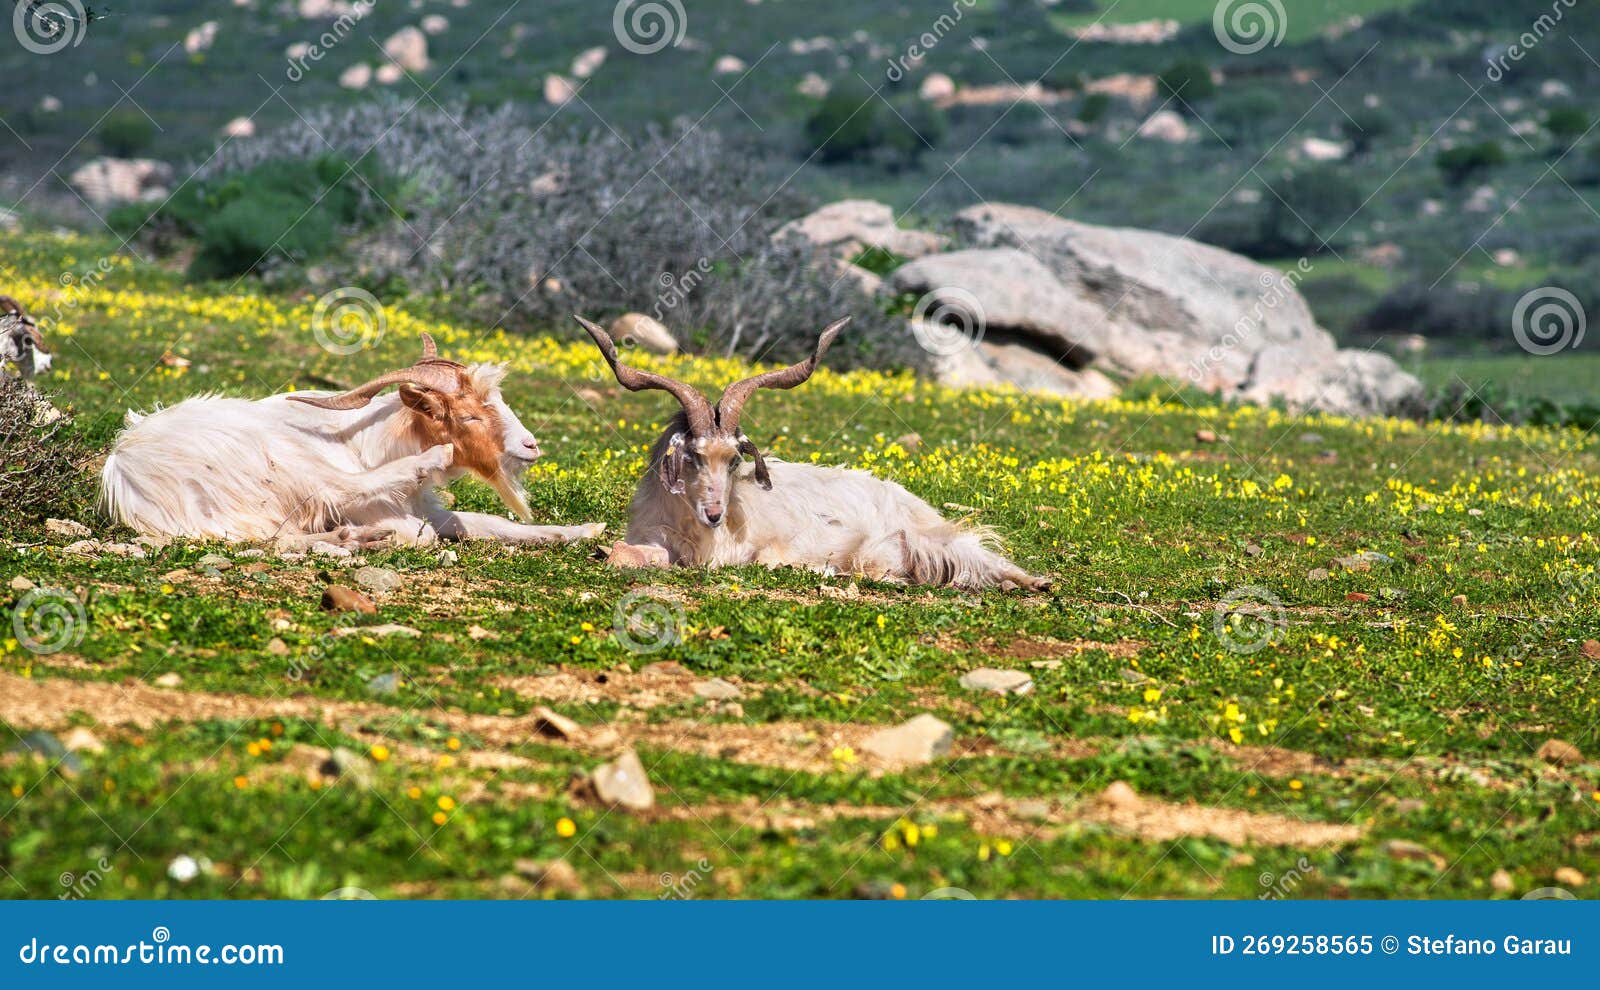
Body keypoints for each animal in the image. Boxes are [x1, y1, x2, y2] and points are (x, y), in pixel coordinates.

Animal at [101, 334, 606, 550]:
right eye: (467, 415)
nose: (531, 446)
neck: (373, 440)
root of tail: (131, 476)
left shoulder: (422, 505)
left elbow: (488, 522)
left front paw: (584, 530)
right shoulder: (380, 502)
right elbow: (422, 529)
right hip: (281, 461)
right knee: (329, 495)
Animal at [575, 315, 1050, 591]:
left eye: (734, 459)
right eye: (691, 456)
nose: (713, 513)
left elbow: (771, 560)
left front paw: (822, 569)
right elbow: (628, 554)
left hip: (929, 538)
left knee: (977, 553)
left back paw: (1032, 582)